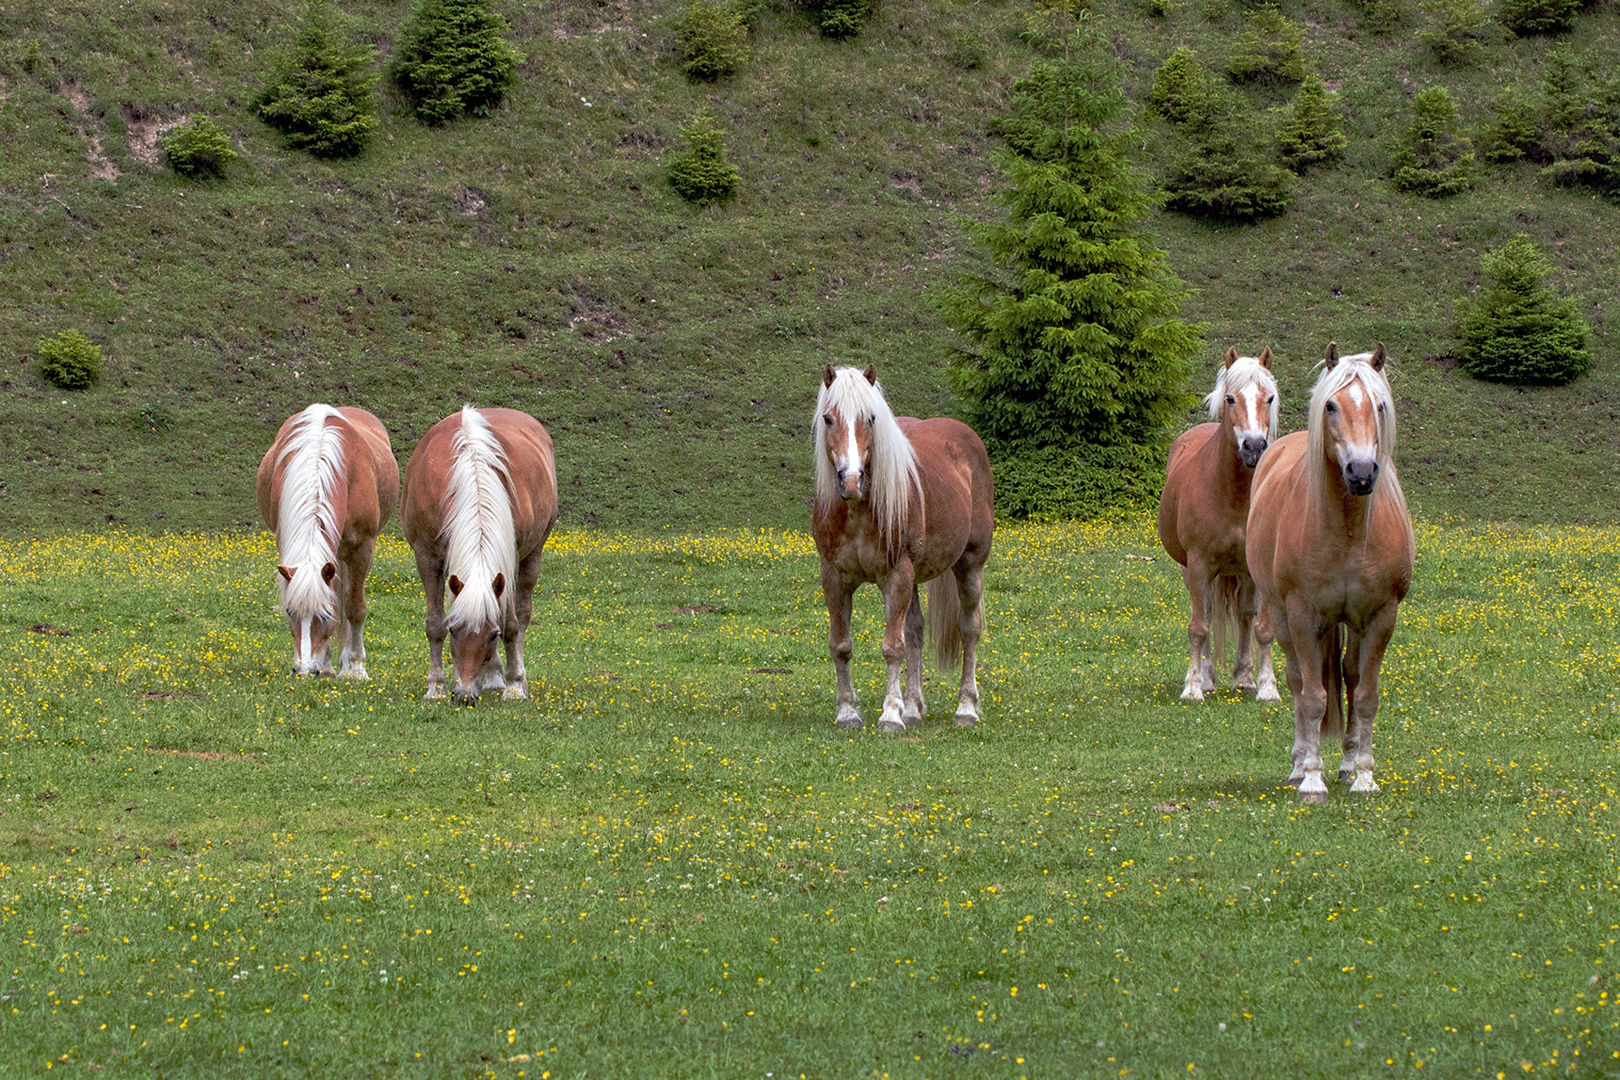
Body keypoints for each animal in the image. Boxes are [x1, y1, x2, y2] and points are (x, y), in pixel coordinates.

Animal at [259, 401, 401, 680]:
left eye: (324, 614)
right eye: (290, 611)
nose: (304, 671)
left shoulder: (362, 548)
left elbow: (354, 608)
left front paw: (355, 667)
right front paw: (325, 664)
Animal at [401, 403, 560, 702]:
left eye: (491, 635)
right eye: (454, 631)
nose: (464, 695)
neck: (470, 471)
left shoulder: (510, 561)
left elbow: (511, 625)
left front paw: (514, 685)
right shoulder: (425, 557)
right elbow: (434, 624)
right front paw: (436, 687)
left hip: (532, 556)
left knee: (523, 614)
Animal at [806, 365, 984, 735]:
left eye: (871, 418)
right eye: (828, 419)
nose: (851, 480)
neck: (858, 512)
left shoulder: (897, 575)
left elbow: (892, 647)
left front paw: (890, 715)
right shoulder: (834, 578)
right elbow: (841, 646)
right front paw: (848, 713)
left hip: (971, 564)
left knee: (969, 629)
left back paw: (966, 708)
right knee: (915, 631)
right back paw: (913, 708)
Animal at [1166, 341, 1276, 705]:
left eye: (1269, 398)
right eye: (1230, 398)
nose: (1254, 446)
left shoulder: (1258, 568)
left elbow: (1260, 626)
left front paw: (1265, 685)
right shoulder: (1200, 563)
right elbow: (1198, 627)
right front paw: (1193, 687)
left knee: (1242, 615)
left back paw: (1243, 677)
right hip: (1193, 571)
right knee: (1207, 611)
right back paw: (1206, 677)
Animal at [1244, 344, 1412, 803]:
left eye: (1380, 405)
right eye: (1332, 405)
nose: (1361, 472)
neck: (1349, 529)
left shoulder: (1382, 617)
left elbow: (1366, 695)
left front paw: (1364, 776)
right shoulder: (1304, 616)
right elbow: (1314, 698)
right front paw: (1312, 778)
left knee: (1350, 676)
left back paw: (1348, 764)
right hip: (1284, 618)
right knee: (1298, 681)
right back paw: (1300, 765)